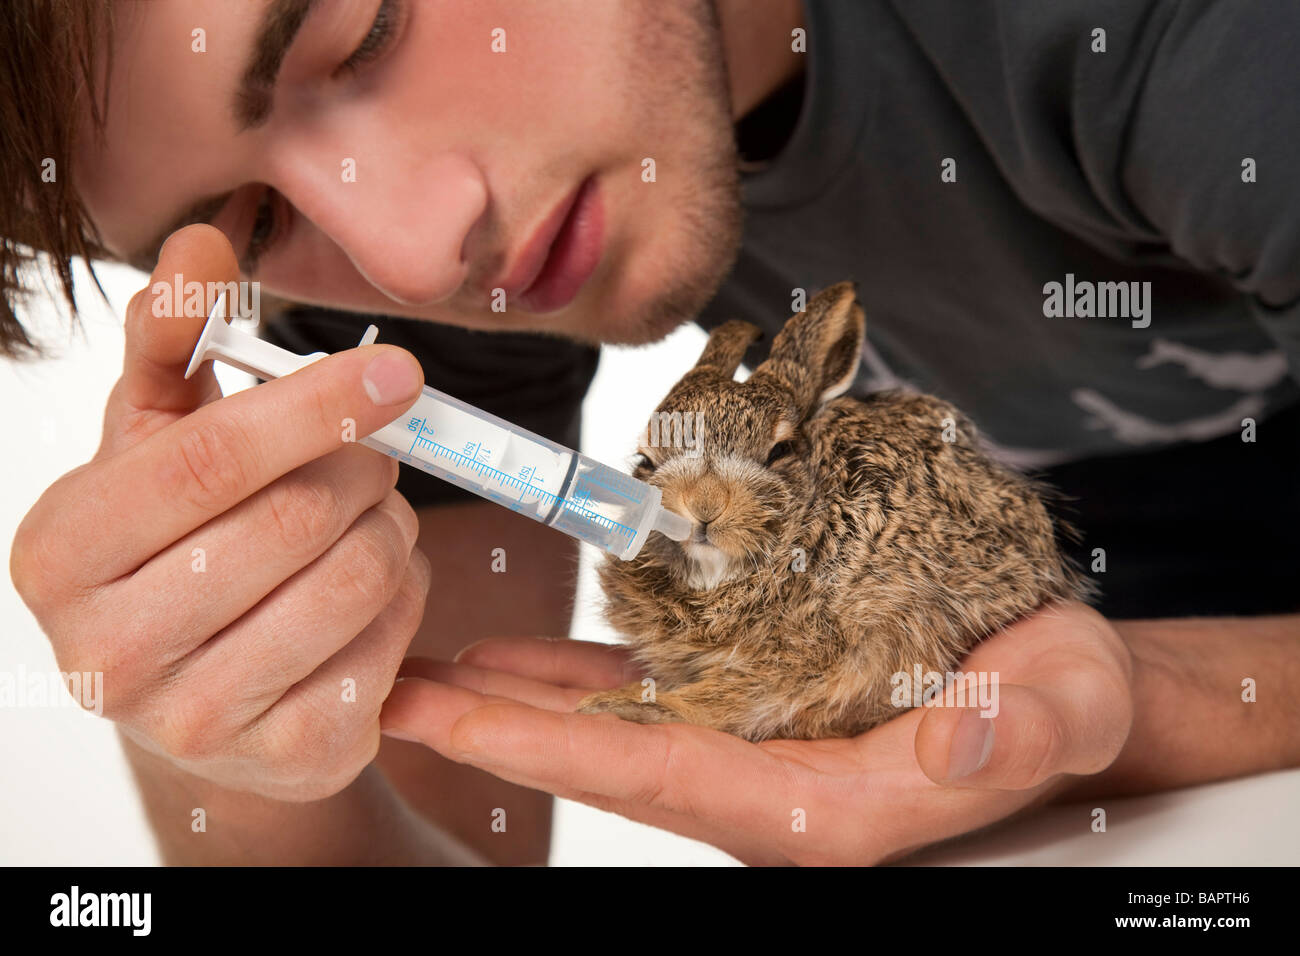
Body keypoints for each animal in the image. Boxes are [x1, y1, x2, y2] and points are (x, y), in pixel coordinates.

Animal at [576, 281, 1093, 741]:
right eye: (645, 461)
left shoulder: (855, 646)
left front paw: (628, 705)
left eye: (779, 451)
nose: (703, 505)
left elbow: (738, 698)